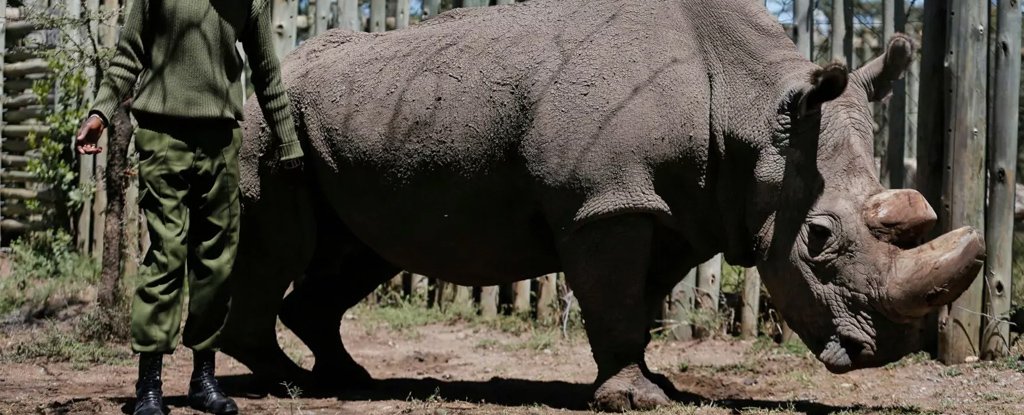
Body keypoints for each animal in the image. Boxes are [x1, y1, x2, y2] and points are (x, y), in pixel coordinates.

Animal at [218, 0, 986, 411]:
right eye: (819, 238)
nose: (883, 352)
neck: (752, 106)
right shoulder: (606, 204)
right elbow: (615, 301)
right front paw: (637, 399)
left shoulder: (672, 210)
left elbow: (636, 304)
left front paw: (652, 381)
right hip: (270, 124)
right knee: (280, 243)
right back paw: (287, 385)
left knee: (362, 252)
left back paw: (348, 378)